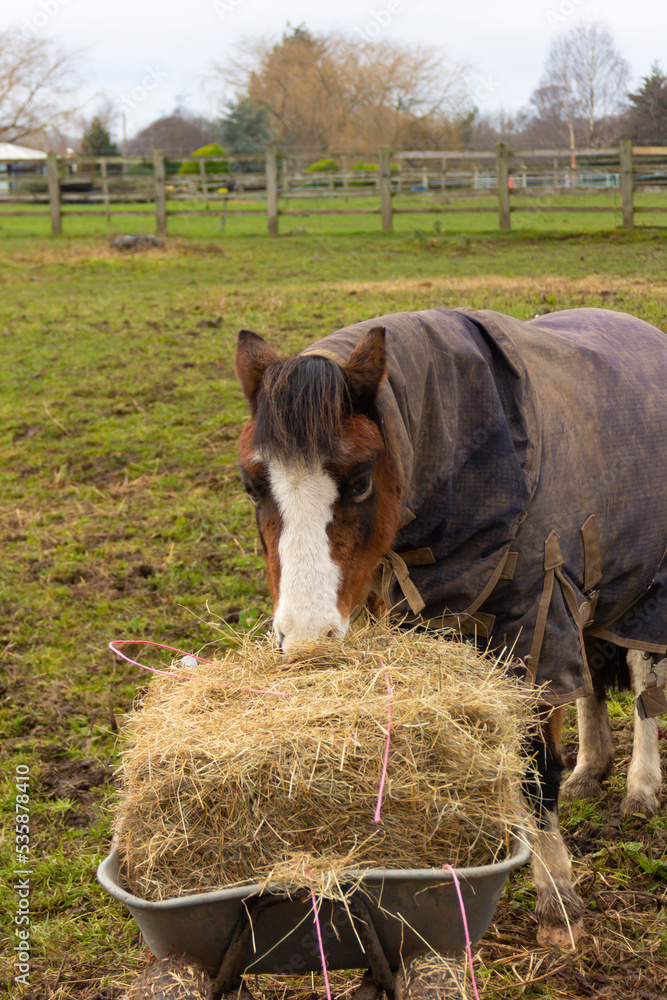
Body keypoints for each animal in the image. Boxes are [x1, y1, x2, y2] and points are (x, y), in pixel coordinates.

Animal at [235, 306, 667, 948]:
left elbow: (534, 773)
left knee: (643, 678)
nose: (308, 642)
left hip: (647, 586)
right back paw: (592, 770)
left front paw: (558, 902)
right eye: (253, 485)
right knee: (592, 668)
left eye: (360, 481)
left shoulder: (535, 630)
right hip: (600, 579)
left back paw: (640, 784)